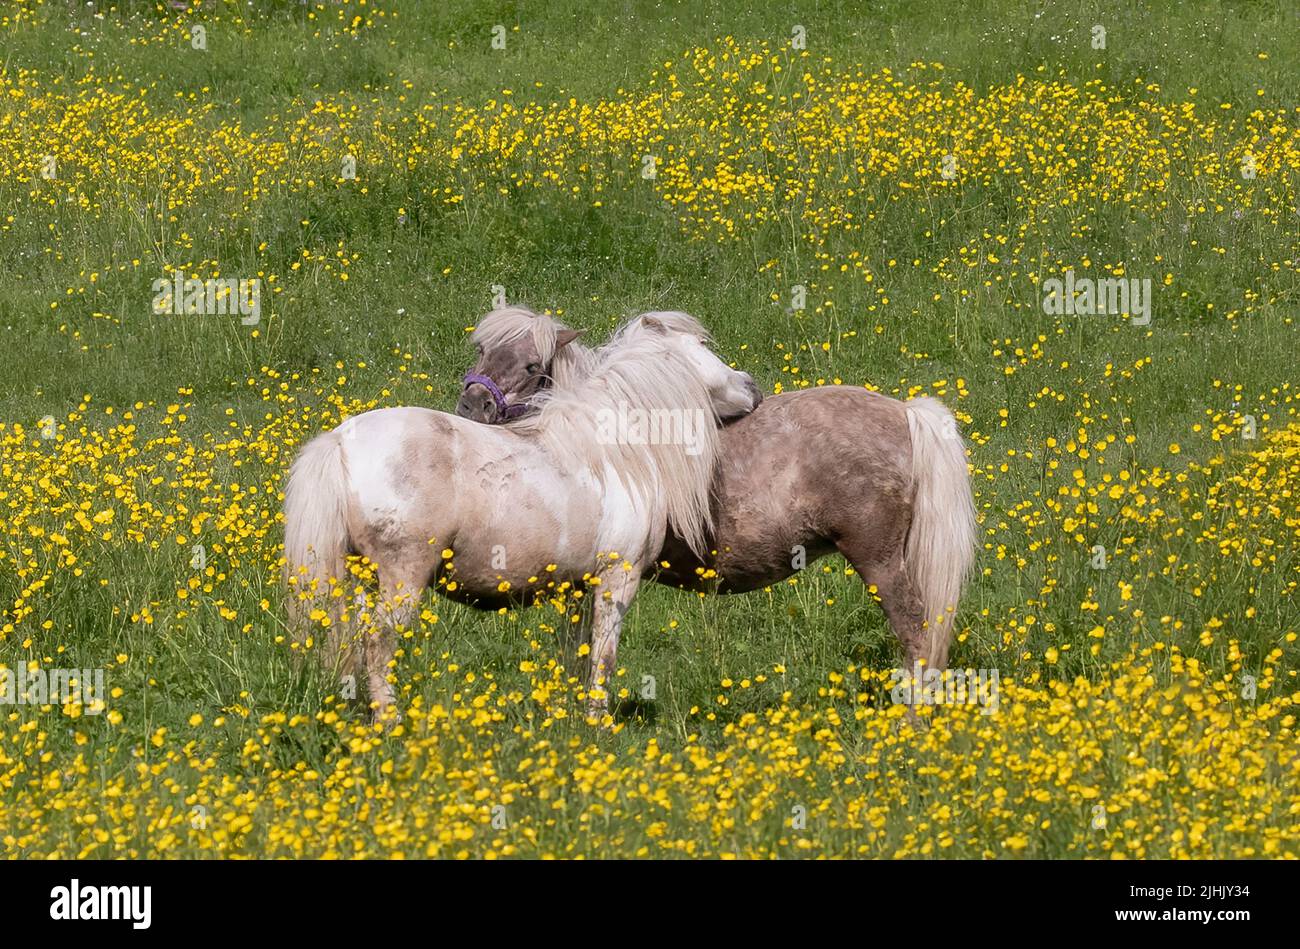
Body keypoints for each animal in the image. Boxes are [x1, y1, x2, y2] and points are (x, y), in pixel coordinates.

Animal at [284, 312, 763, 721]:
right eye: (702, 345)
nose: (753, 387)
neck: (615, 452)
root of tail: (339, 443)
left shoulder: (577, 586)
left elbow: (576, 651)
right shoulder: (617, 579)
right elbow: (603, 656)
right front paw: (596, 723)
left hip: (361, 580)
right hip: (402, 579)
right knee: (377, 644)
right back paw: (390, 722)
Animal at [457, 306, 978, 671]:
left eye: (531, 365)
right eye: (481, 350)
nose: (472, 405)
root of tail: (906, 412)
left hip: (879, 561)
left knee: (916, 635)